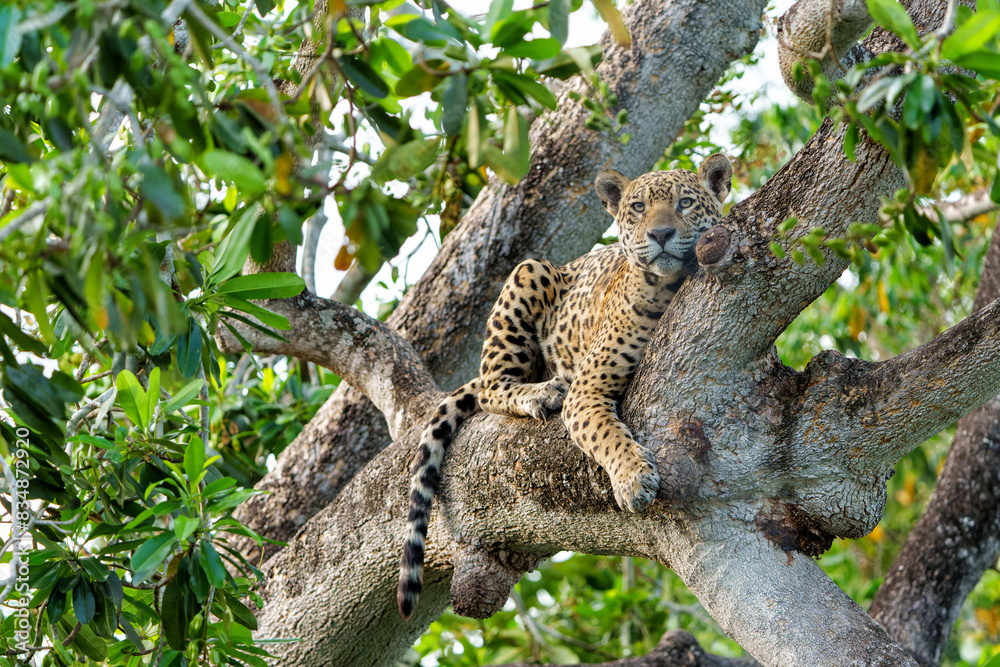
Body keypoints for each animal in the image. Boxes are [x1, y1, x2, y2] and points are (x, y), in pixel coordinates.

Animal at [397, 154, 733, 620]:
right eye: (638, 208)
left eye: (685, 203)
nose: (661, 234)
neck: (670, 288)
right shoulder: (586, 391)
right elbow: (608, 435)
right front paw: (633, 480)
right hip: (529, 272)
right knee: (490, 386)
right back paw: (541, 391)